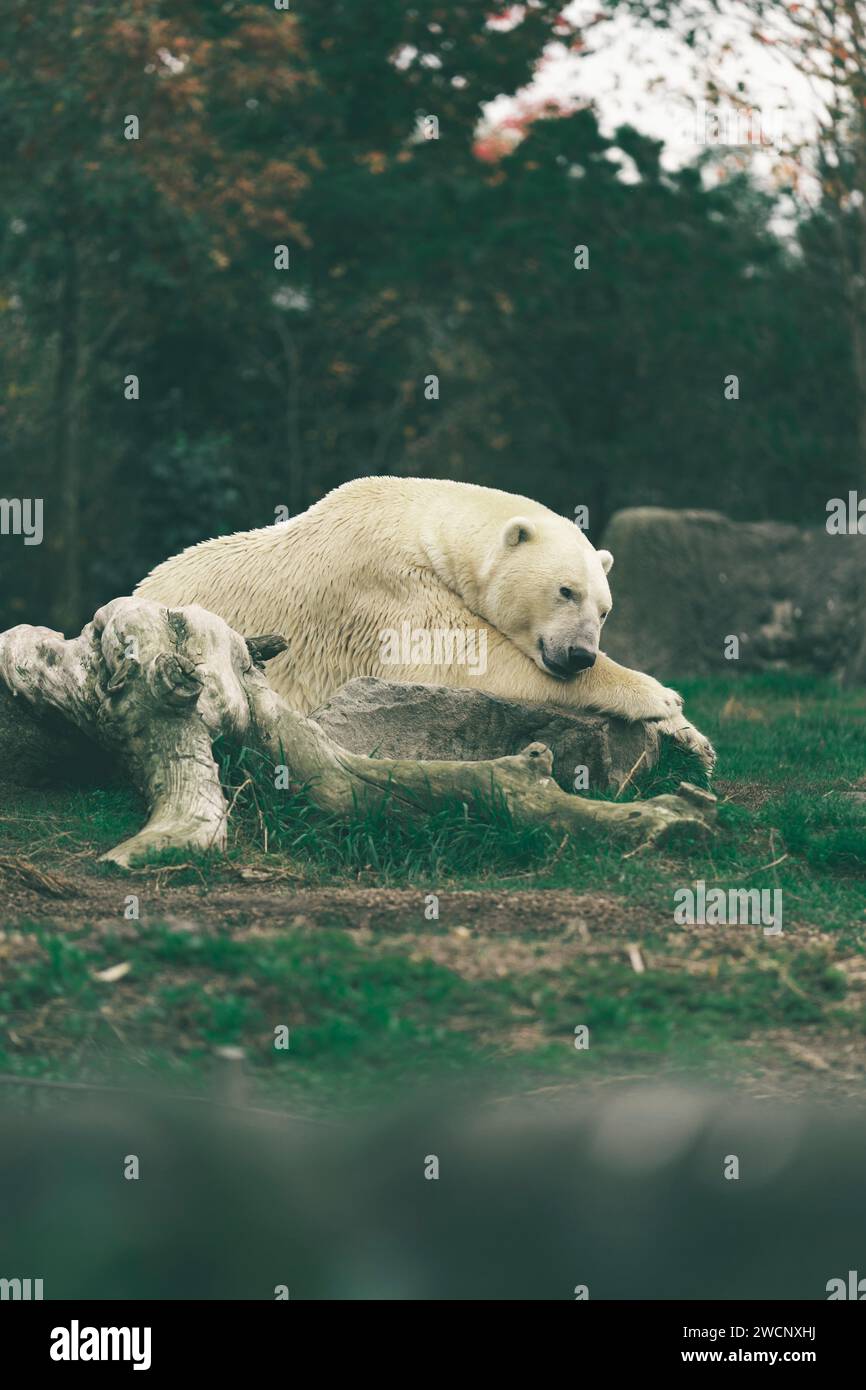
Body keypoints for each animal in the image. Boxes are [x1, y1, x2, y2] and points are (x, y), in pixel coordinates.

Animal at [135, 476, 715, 769]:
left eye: (605, 608)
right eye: (565, 590)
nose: (579, 655)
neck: (416, 518)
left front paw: (691, 738)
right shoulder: (381, 582)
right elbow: (459, 657)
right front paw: (658, 695)